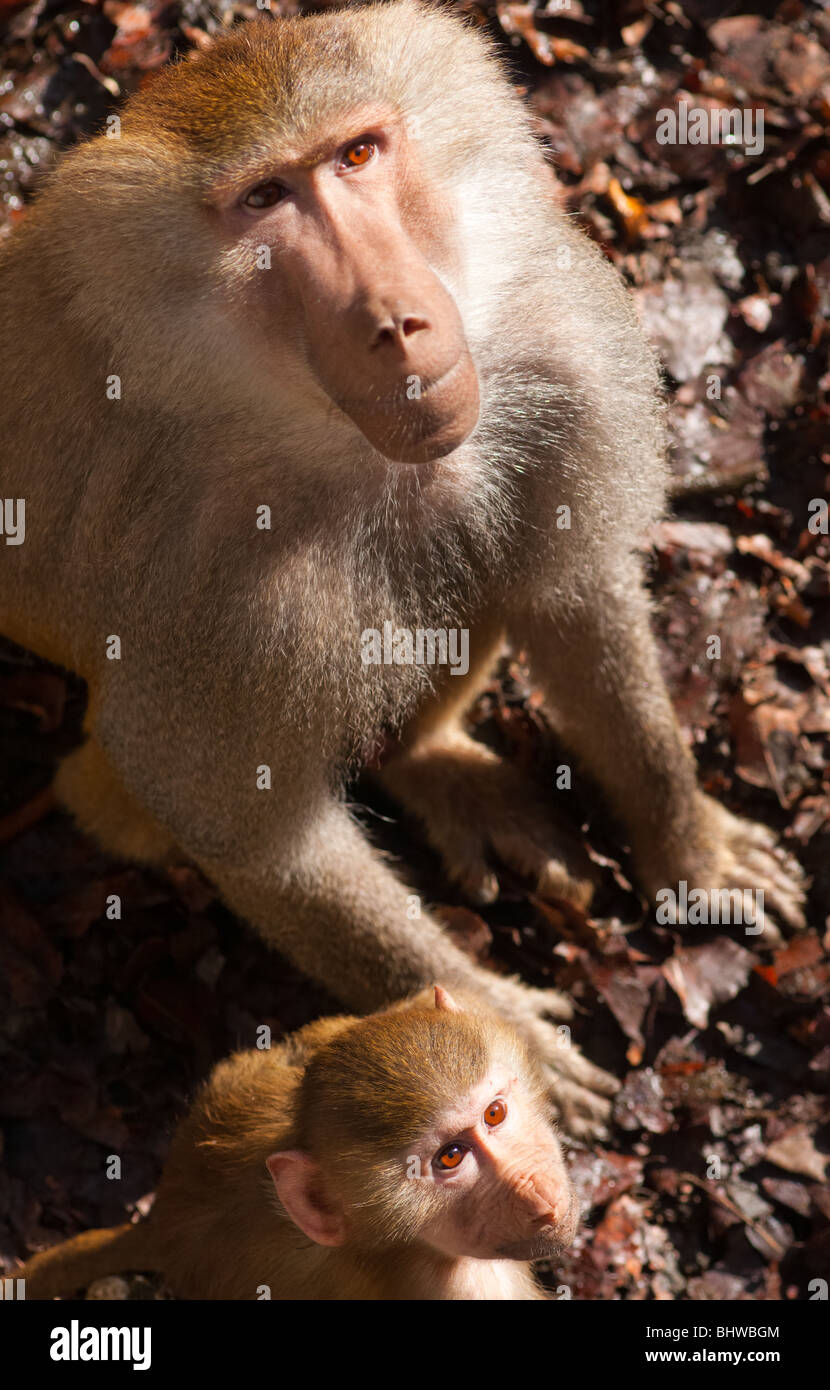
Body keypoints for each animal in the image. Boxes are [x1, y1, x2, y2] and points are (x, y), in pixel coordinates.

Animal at [0, 4, 805, 1138]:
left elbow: (575, 595)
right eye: (264, 201)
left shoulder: (557, 352)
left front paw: (688, 847)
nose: (396, 321)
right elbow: (250, 830)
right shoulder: (219, 578)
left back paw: (437, 762)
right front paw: (488, 1031)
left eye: (357, 155)